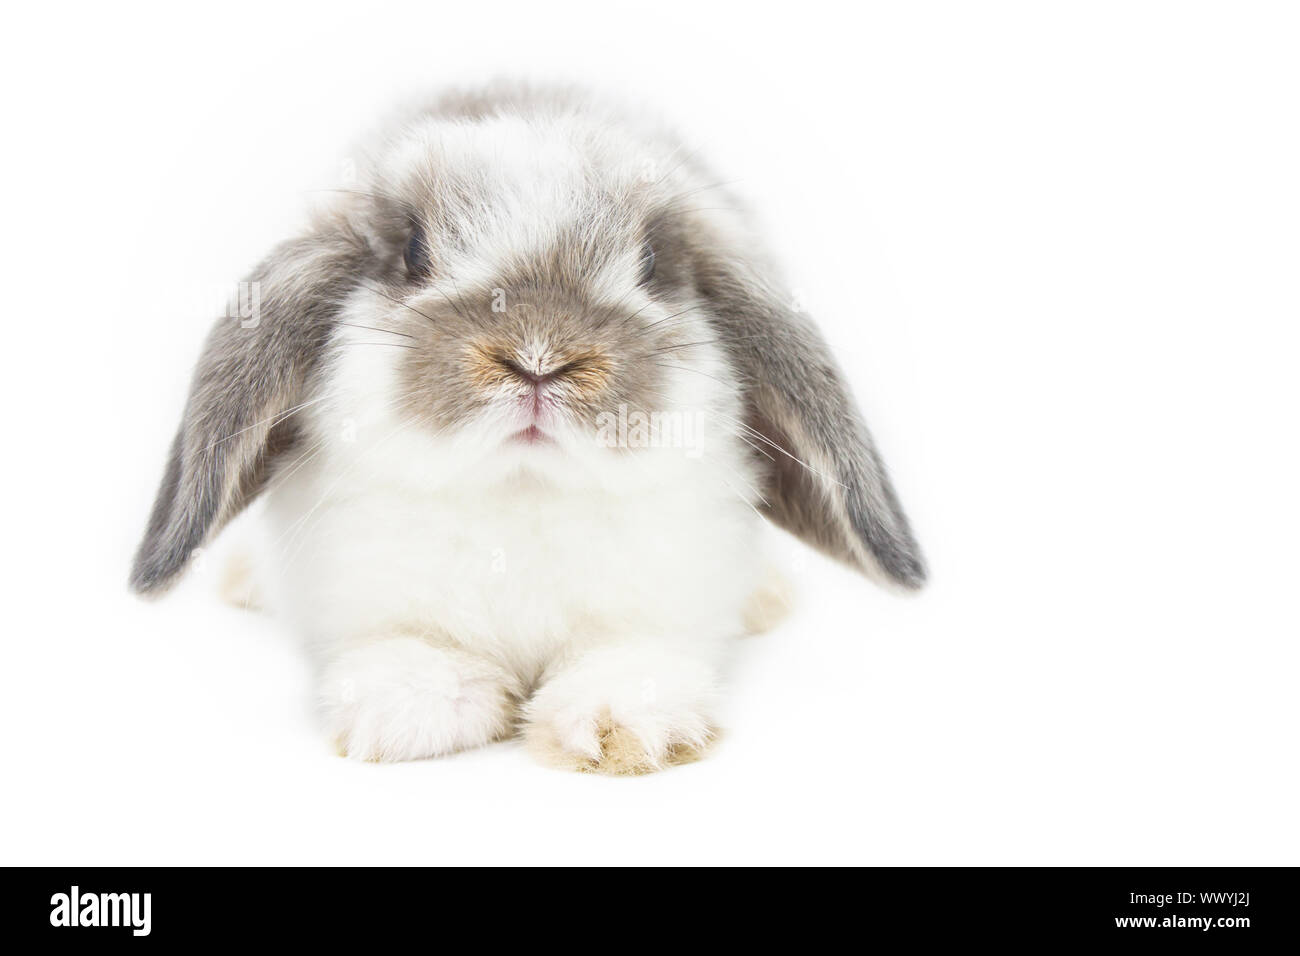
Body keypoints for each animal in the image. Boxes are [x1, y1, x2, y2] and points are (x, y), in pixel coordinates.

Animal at [130, 83, 925, 773]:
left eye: (650, 262)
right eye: (414, 252)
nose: (539, 356)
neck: (521, 491)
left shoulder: (661, 605)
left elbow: (630, 658)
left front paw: (620, 725)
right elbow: (408, 651)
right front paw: (411, 710)